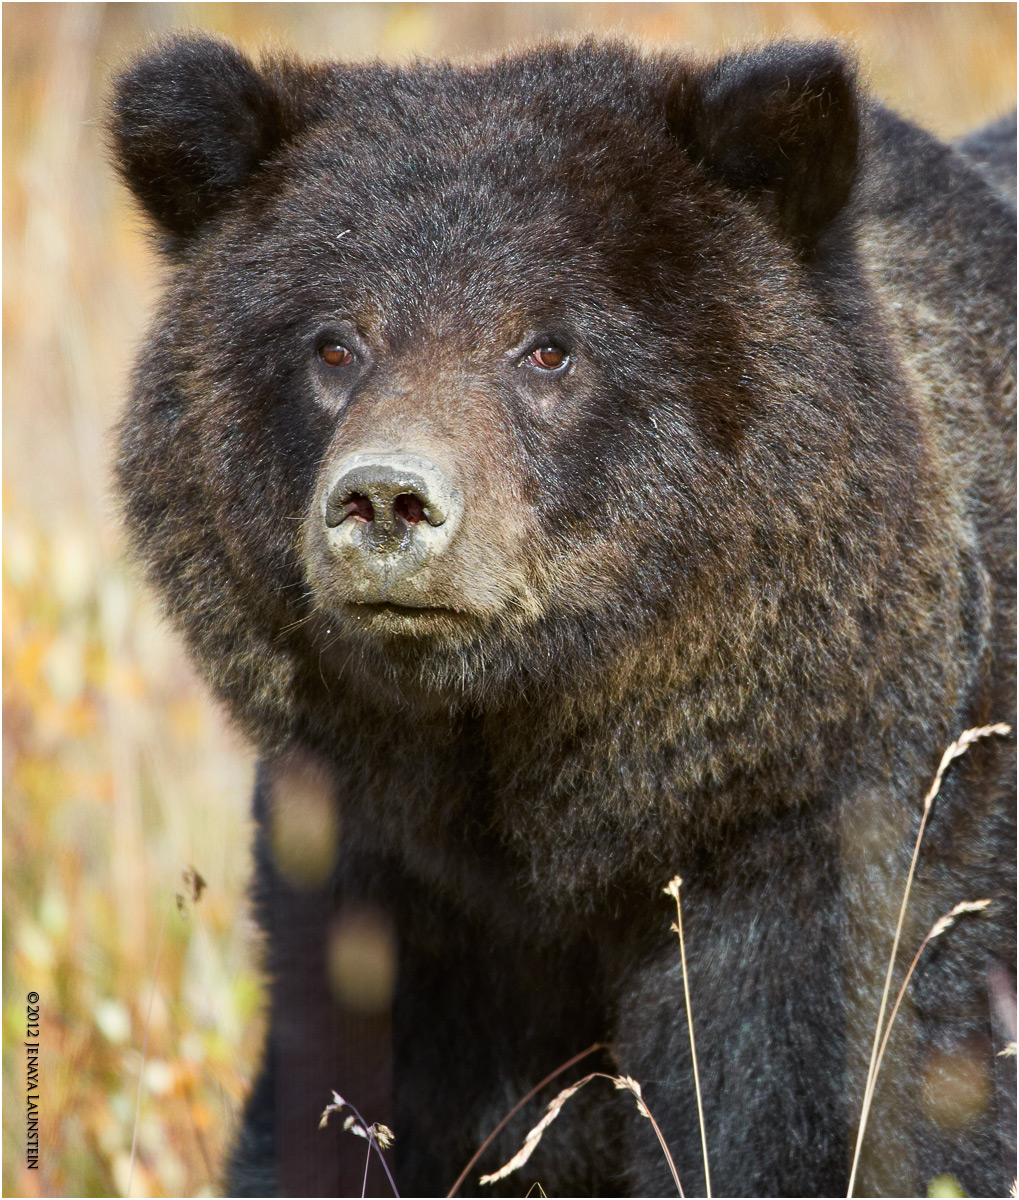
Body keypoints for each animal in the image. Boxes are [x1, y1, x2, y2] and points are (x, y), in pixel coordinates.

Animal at [108, 33, 1016, 1198]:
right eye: (333, 344)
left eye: (546, 346)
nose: (386, 500)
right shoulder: (383, 888)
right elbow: (345, 1110)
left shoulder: (831, 848)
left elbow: (803, 1120)